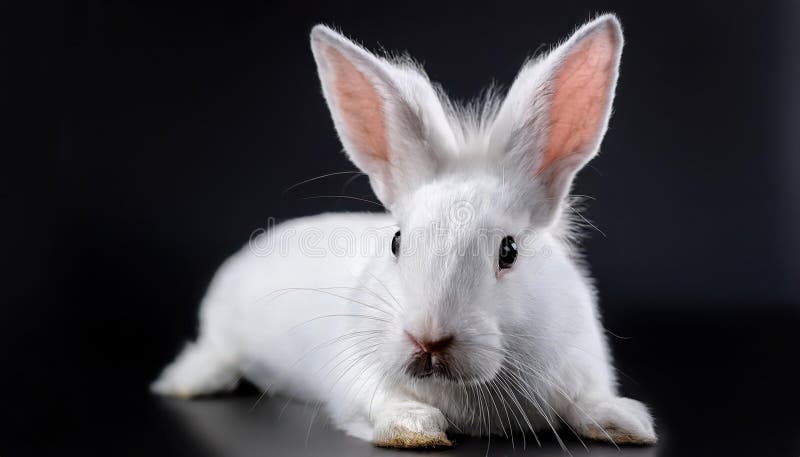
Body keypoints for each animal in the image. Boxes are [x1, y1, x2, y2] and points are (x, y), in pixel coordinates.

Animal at [152, 14, 657, 449]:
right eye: (397, 242)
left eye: (509, 250)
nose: (428, 339)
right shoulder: (359, 375)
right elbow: (387, 403)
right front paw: (414, 430)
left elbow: (589, 402)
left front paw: (627, 422)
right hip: (223, 336)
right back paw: (186, 384)